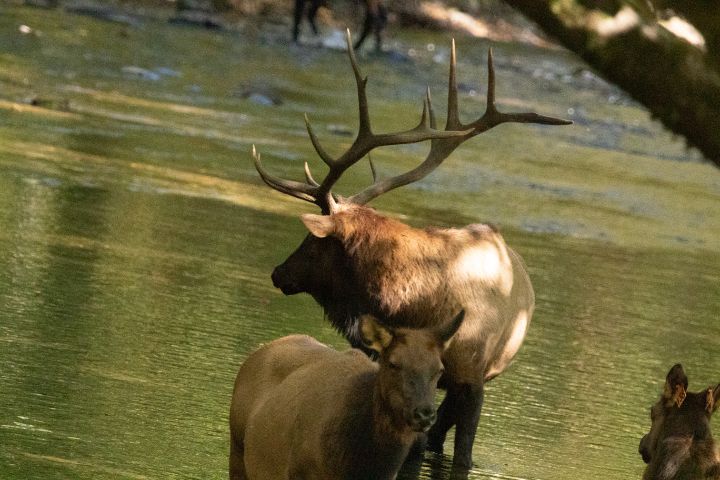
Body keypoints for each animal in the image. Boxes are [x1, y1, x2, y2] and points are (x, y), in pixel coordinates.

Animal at [229, 311, 465, 480]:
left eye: (439, 369)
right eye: (393, 363)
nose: (424, 413)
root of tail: (259, 351)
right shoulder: (299, 472)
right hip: (238, 451)